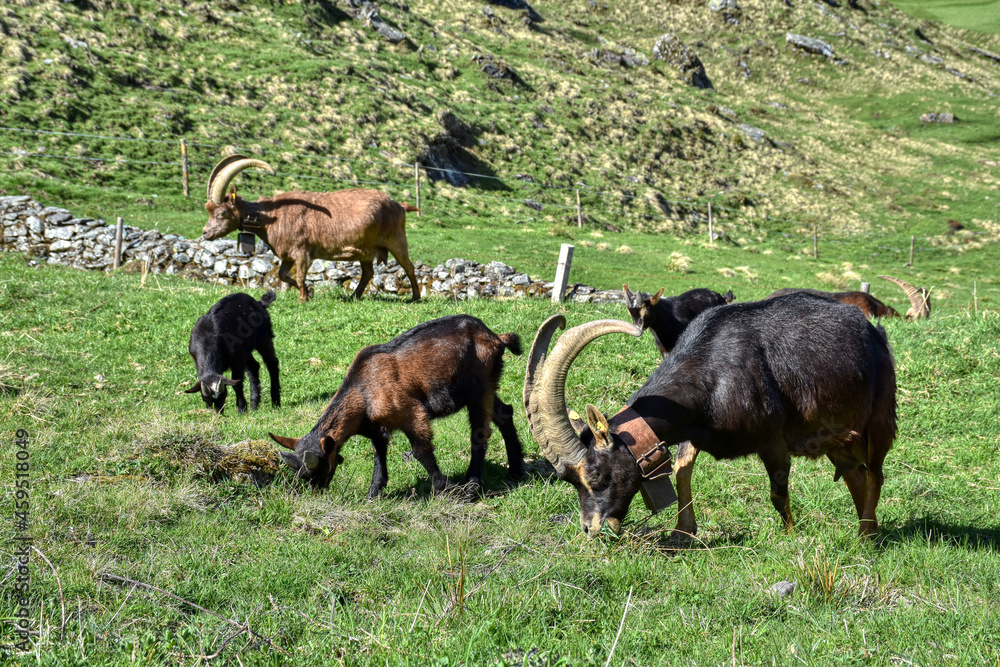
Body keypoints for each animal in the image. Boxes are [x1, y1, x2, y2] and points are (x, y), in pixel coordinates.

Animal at [201, 155, 420, 302]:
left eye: (222, 213)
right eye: (208, 211)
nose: (206, 233)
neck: (271, 217)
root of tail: (400, 205)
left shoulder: (302, 251)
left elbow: (300, 274)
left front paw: (303, 298)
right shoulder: (288, 255)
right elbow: (282, 275)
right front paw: (309, 292)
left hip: (396, 239)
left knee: (408, 266)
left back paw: (416, 297)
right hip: (365, 250)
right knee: (368, 273)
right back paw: (353, 296)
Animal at [270, 315, 524, 497]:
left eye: (318, 465)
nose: (317, 491)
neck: (364, 390)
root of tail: (495, 337)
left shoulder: (411, 413)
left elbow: (421, 451)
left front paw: (441, 488)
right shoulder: (377, 428)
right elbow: (378, 456)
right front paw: (373, 493)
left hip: (479, 389)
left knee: (480, 433)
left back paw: (471, 485)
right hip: (486, 387)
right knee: (505, 413)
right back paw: (515, 470)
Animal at [525, 292, 897, 538]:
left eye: (596, 475)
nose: (591, 528)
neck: (711, 369)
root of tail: (873, 331)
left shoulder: (773, 441)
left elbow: (777, 493)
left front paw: (791, 536)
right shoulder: (695, 430)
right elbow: (682, 469)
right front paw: (683, 533)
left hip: (879, 419)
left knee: (875, 474)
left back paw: (866, 536)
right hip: (839, 437)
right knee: (855, 474)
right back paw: (869, 526)